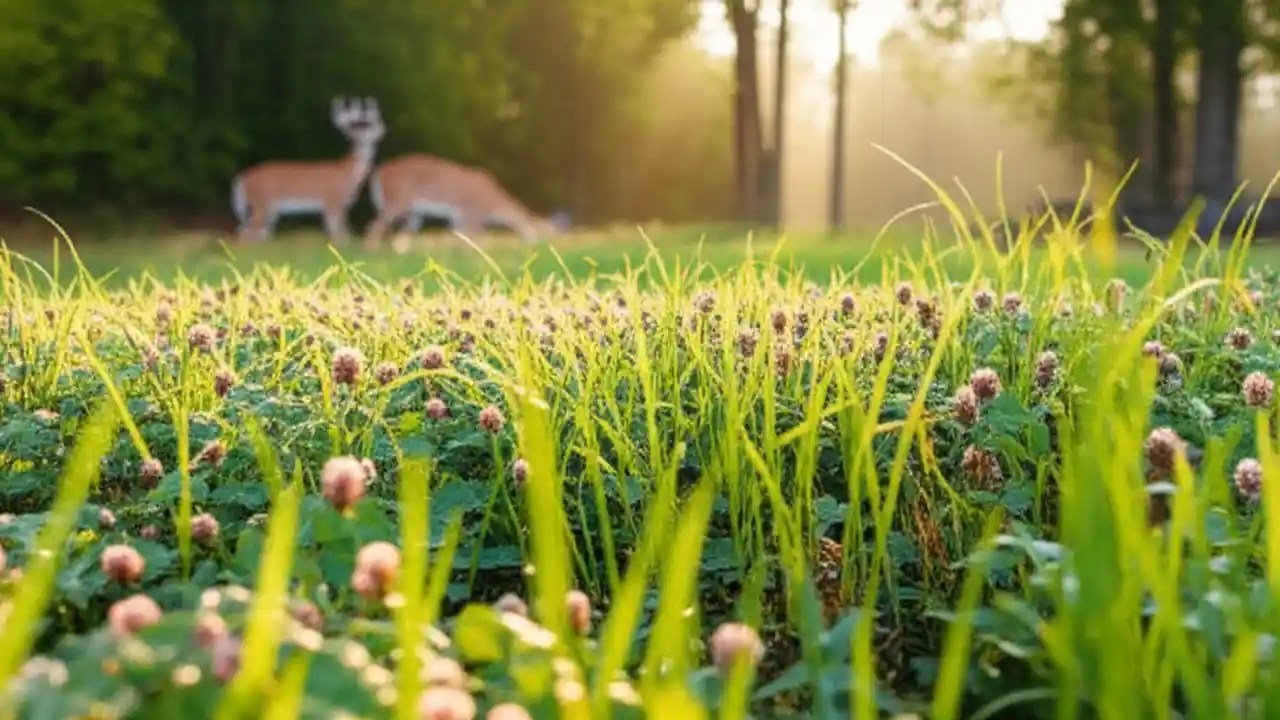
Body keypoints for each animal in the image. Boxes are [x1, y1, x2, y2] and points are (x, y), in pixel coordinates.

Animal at [231, 97, 385, 242]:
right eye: (355, 139)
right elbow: (338, 235)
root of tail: (242, 178)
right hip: (261, 203)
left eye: (372, 140)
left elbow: (342, 234)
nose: (364, 148)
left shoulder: (342, 206)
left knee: (250, 232)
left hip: (266, 209)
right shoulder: (331, 201)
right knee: (246, 236)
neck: (347, 175)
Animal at [362, 154, 566, 247]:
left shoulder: (458, 217)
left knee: (400, 234)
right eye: (546, 232)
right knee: (374, 227)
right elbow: (478, 239)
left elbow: (460, 239)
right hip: (396, 200)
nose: (543, 246)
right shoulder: (471, 214)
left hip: (412, 212)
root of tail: (377, 173)